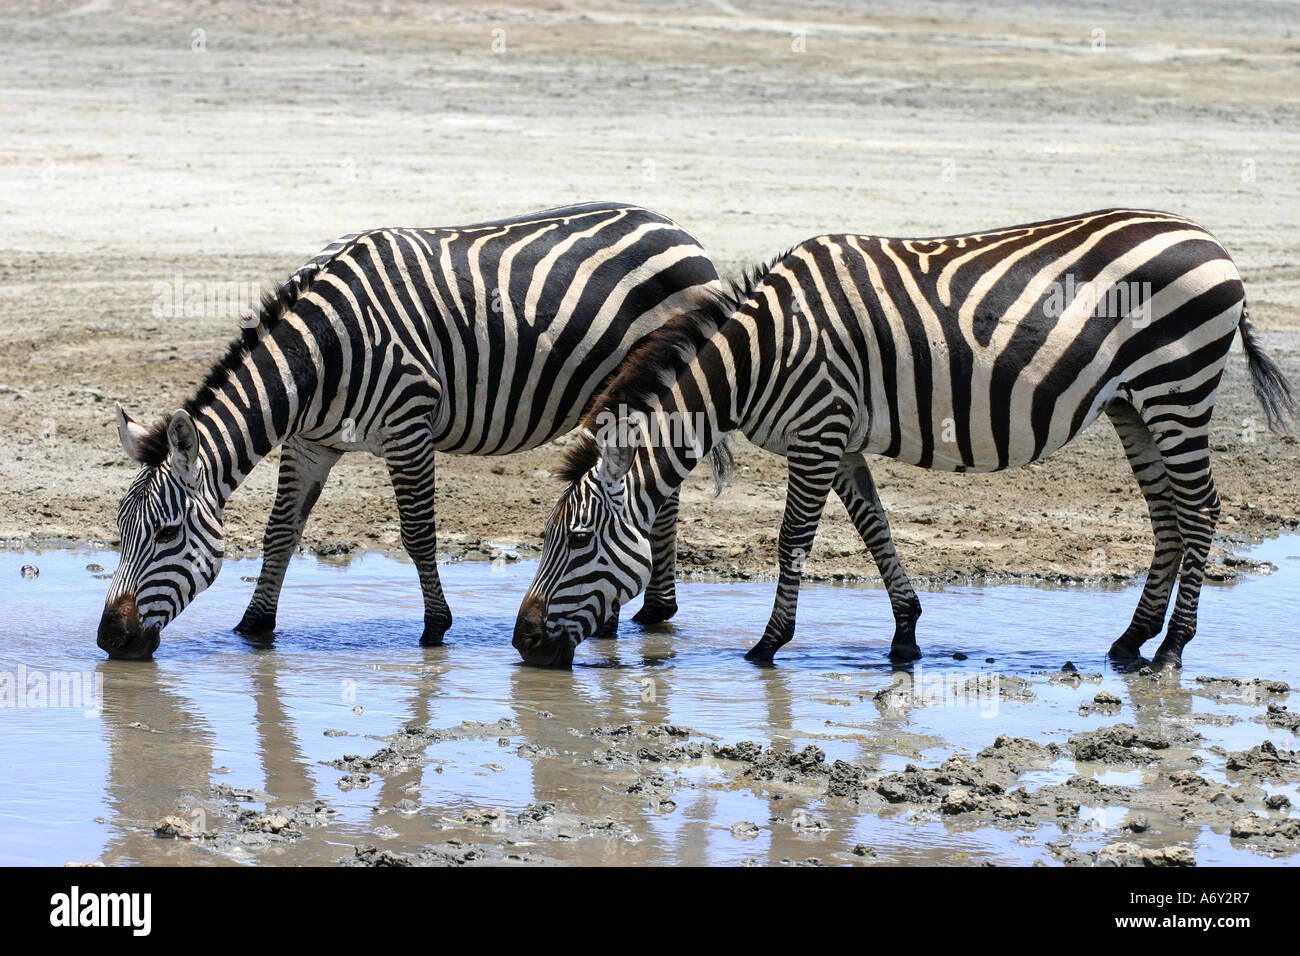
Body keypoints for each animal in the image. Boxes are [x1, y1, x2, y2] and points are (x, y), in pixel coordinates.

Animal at [98, 202, 718, 659]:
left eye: (167, 534)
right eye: (120, 533)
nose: (110, 640)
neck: (320, 353)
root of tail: (677, 227)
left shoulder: (408, 426)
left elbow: (418, 534)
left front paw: (435, 629)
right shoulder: (308, 443)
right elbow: (281, 534)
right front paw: (254, 627)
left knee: (662, 495)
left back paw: (654, 611)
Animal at [514, 208, 1295, 669]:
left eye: (575, 541)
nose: (523, 643)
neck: (764, 354)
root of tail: (1210, 240)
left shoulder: (818, 429)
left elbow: (793, 540)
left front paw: (767, 646)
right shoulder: (843, 439)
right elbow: (875, 527)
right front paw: (906, 635)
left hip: (1177, 388)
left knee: (1201, 510)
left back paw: (1173, 650)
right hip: (1134, 404)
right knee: (1168, 514)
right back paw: (1132, 641)